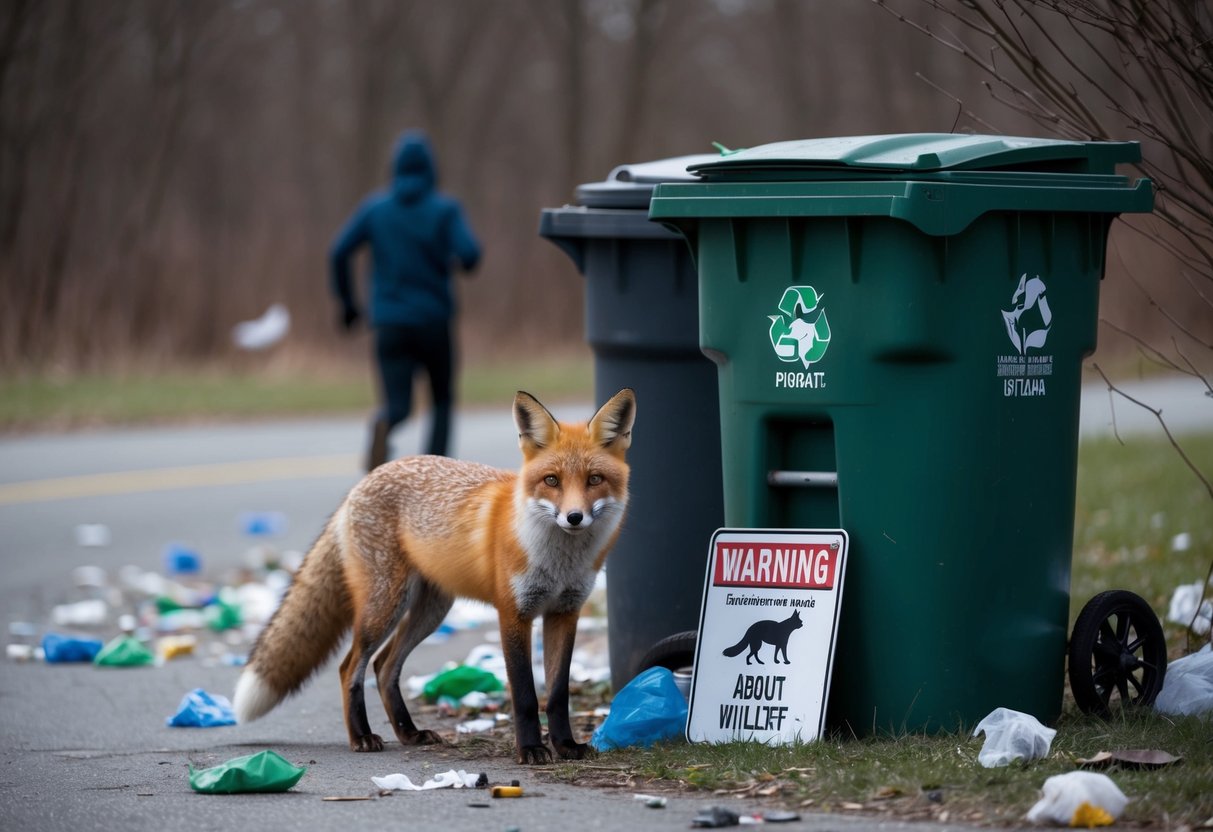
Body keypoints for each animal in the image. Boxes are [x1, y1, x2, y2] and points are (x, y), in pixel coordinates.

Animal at [232, 389, 635, 765]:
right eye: (552, 480)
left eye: (594, 479)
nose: (574, 517)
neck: (557, 561)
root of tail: (365, 480)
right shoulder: (513, 613)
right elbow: (523, 694)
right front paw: (532, 749)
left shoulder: (564, 612)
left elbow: (557, 694)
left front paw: (566, 745)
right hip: (385, 607)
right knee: (351, 668)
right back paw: (361, 736)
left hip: (431, 611)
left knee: (384, 667)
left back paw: (408, 733)